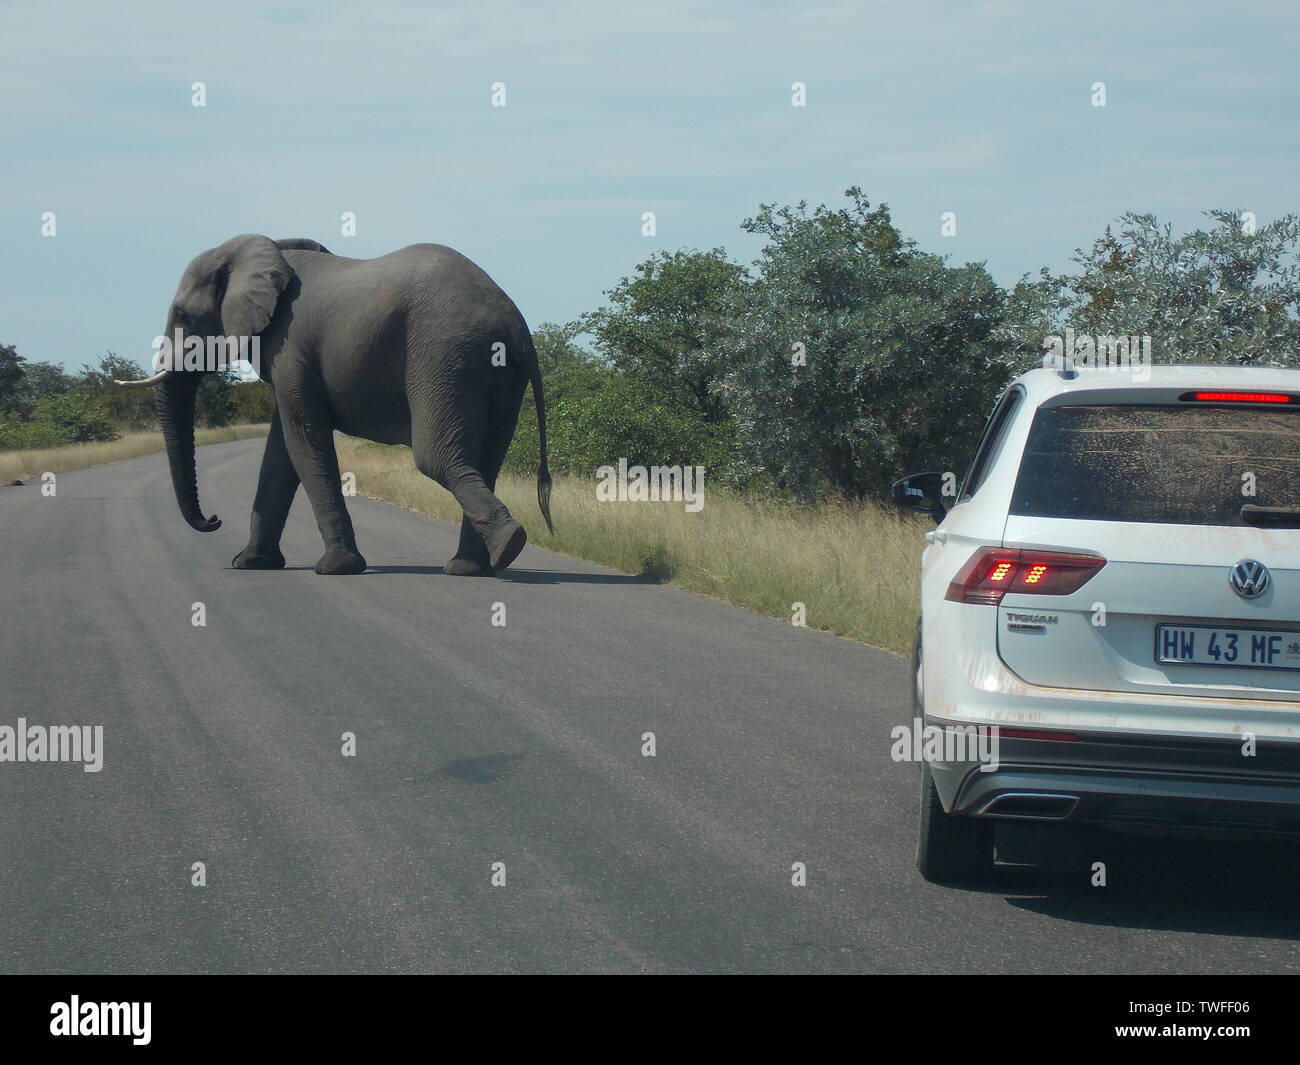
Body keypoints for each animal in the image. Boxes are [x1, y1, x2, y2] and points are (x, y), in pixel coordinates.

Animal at [117, 234, 551, 576]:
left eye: (183, 315)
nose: (213, 519)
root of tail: (515, 324)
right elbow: (280, 451)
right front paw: (251, 563)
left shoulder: (289, 344)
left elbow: (303, 439)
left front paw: (336, 568)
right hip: (495, 371)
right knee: (487, 459)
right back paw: (473, 567)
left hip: (445, 355)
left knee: (437, 457)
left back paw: (507, 546)